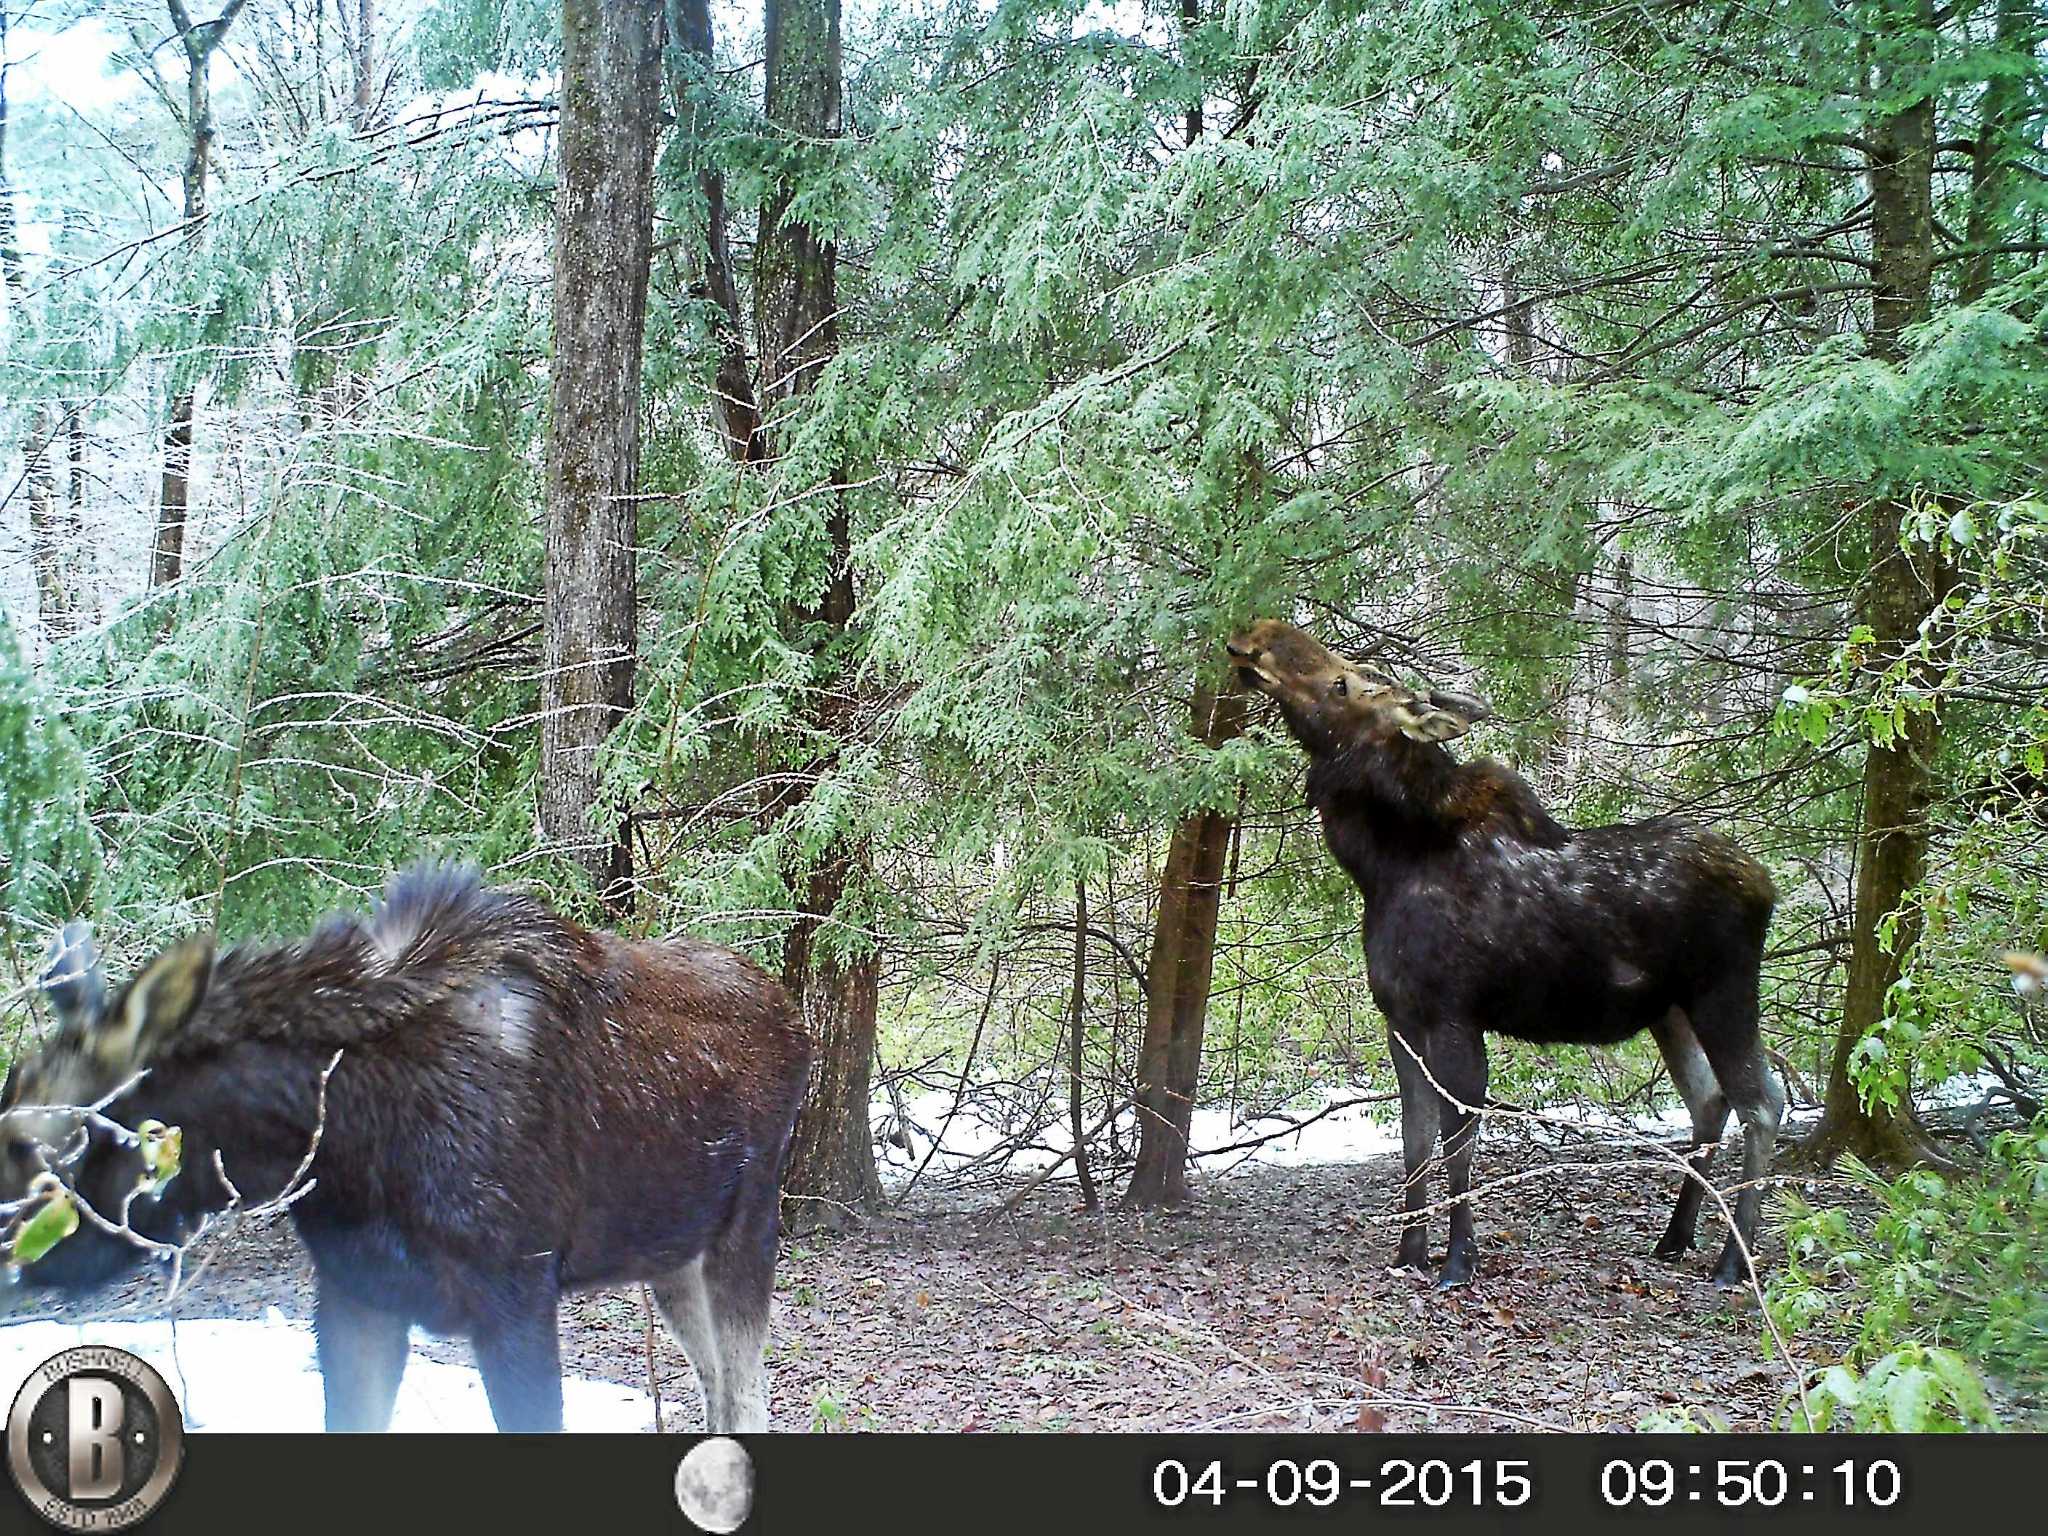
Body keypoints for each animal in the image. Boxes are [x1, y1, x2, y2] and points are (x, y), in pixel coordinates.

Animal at [0, 863, 811, 1432]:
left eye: (48, 1148)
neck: (347, 1149)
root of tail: (794, 1015)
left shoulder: (516, 1296)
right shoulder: (357, 1295)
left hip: (748, 1230)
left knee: (748, 1399)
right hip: (669, 1256)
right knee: (717, 1391)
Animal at [1228, 620, 1784, 1290]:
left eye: (1343, 683)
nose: (1254, 637)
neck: (1380, 867)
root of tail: (1767, 884)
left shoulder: (1452, 1015)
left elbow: (1457, 1135)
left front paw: (1457, 1261)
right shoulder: (1401, 1022)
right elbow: (1415, 1139)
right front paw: (1409, 1253)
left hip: (1724, 994)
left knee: (1763, 1104)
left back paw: (1734, 1261)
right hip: (1670, 1013)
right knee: (1710, 1100)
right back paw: (1674, 1239)